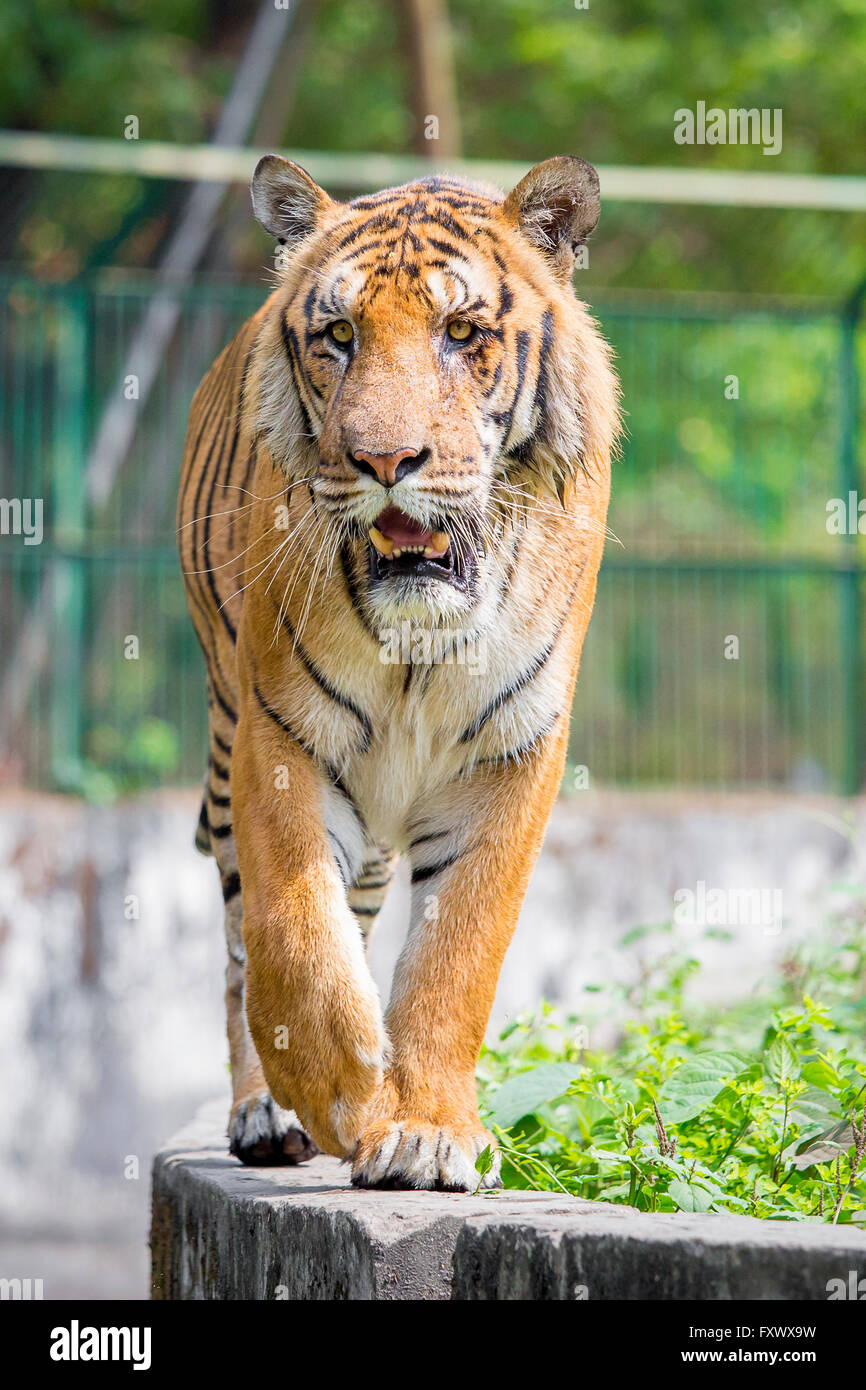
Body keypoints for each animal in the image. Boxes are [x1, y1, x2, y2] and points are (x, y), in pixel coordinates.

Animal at [177, 153, 619, 1190]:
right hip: (226, 739)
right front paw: (345, 1094)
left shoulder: (514, 754)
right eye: (339, 336)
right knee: (241, 942)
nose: (386, 460)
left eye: (461, 334)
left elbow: (456, 953)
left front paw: (425, 1130)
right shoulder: (281, 735)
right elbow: (295, 937)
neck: (421, 649)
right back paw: (267, 1115)